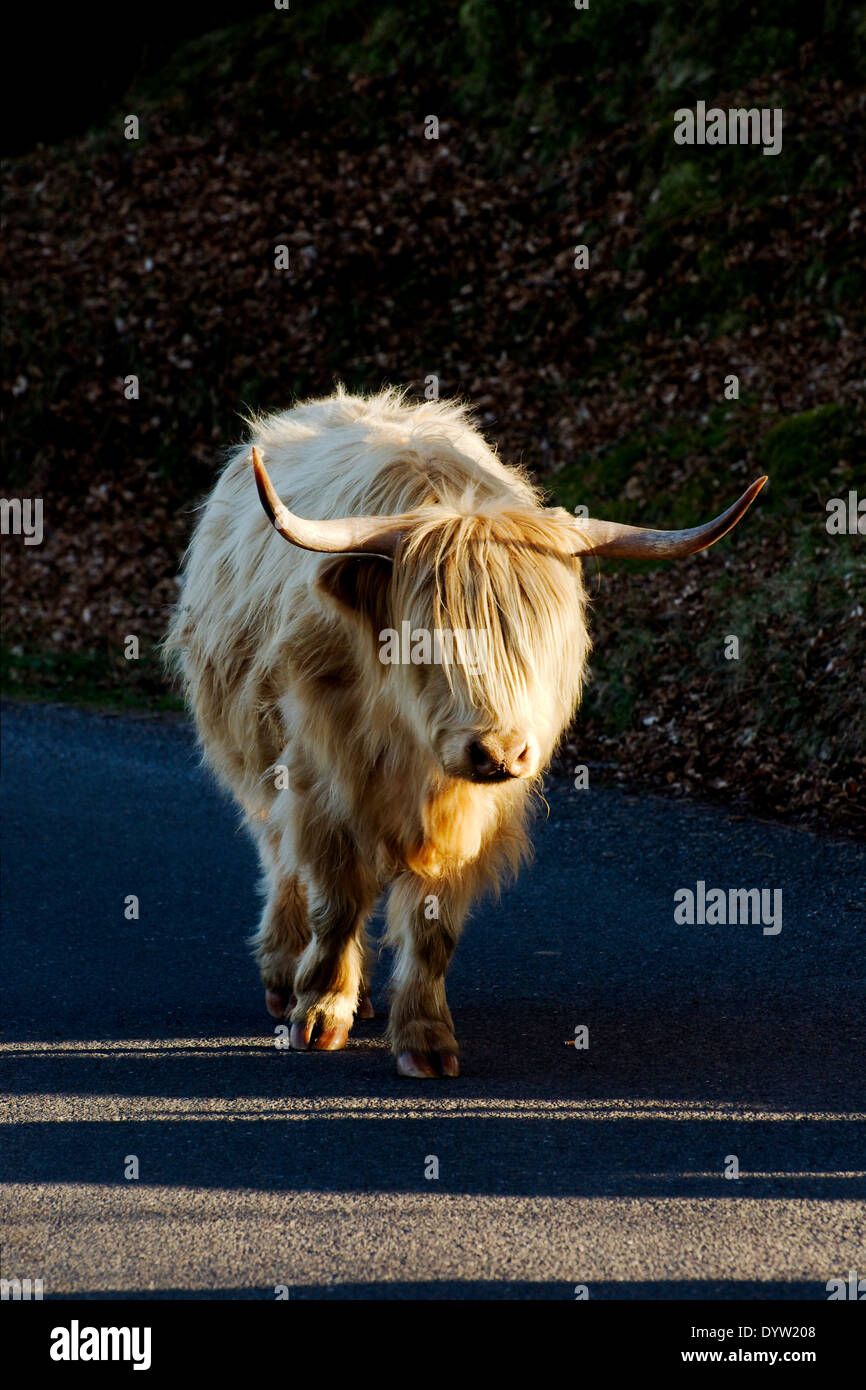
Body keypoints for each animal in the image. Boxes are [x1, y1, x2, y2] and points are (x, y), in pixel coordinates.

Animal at [165, 387, 765, 1078]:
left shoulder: (473, 813)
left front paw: (424, 1038)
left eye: (535, 639)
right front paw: (319, 1011)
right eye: (425, 639)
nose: (498, 751)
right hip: (256, 758)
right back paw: (285, 974)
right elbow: (334, 897)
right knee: (282, 859)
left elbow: (433, 926)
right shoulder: (322, 782)